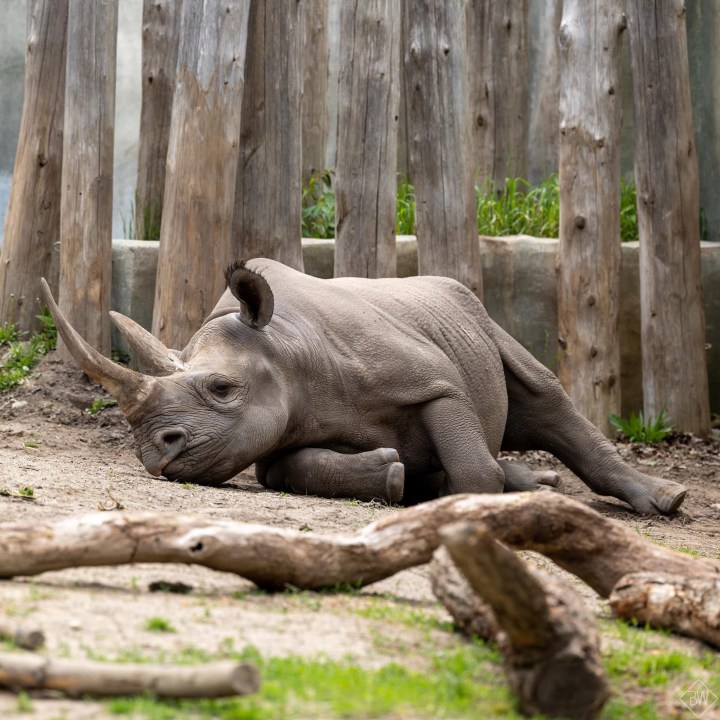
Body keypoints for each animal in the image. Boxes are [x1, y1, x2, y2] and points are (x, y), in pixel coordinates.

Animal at [41, 259, 687, 514]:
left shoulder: (433, 379)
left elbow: (466, 449)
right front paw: (394, 476)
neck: (284, 349)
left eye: (222, 390)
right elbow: (288, 469)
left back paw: (666, 502)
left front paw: (469, 505)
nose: (154, 452)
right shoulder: (279, 431)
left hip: (473, 318)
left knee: (542, 395)